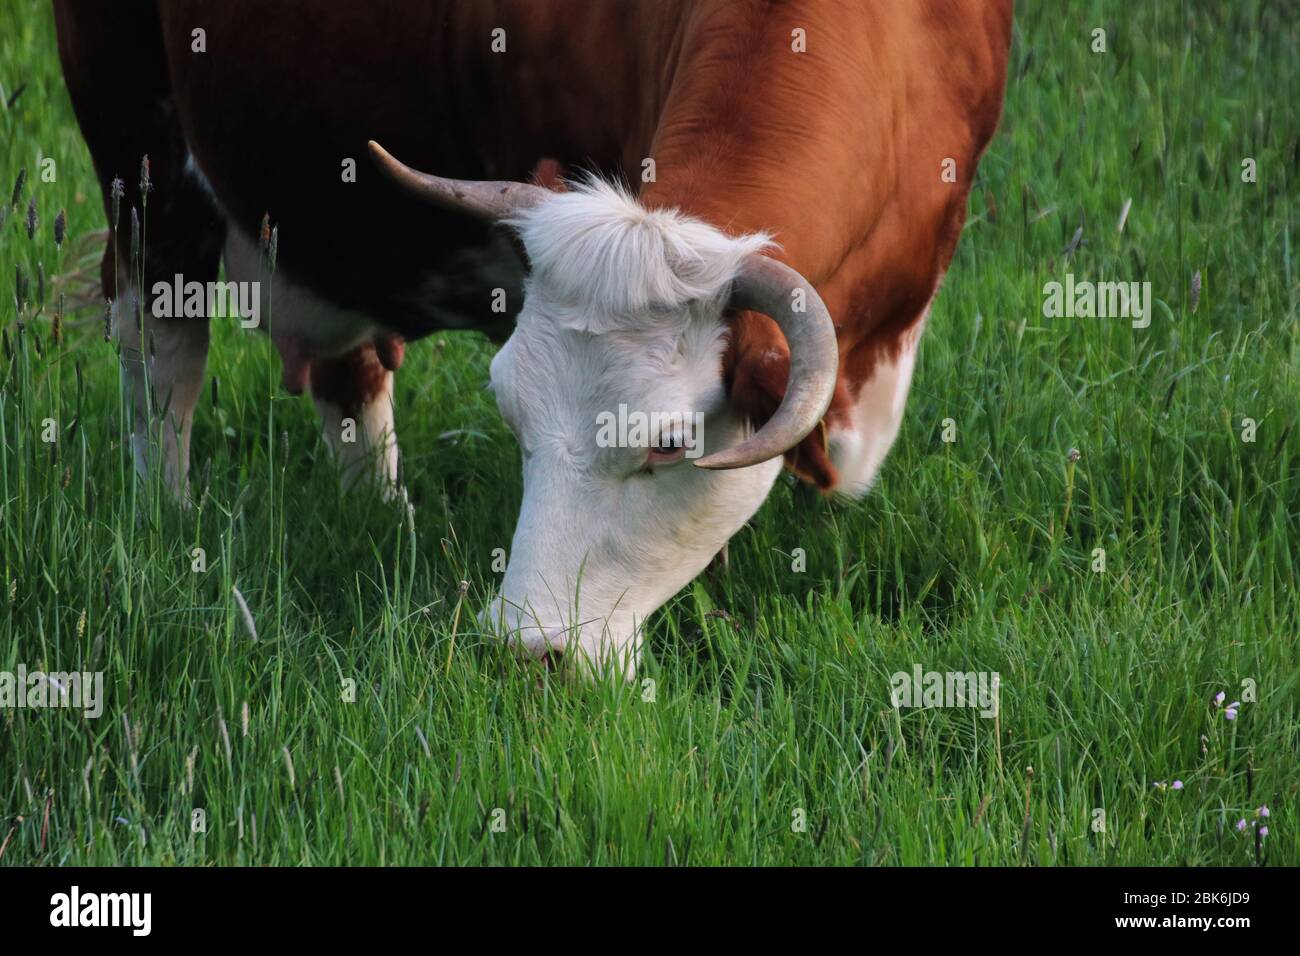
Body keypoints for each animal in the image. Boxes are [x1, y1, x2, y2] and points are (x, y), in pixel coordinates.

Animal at [54, 0, 1013, 677]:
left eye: (670, 444)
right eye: (514, 420)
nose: (530, 652)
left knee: (348, 373)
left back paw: (382, 515)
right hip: (135, 146)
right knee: (163, 355)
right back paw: (164, 515)